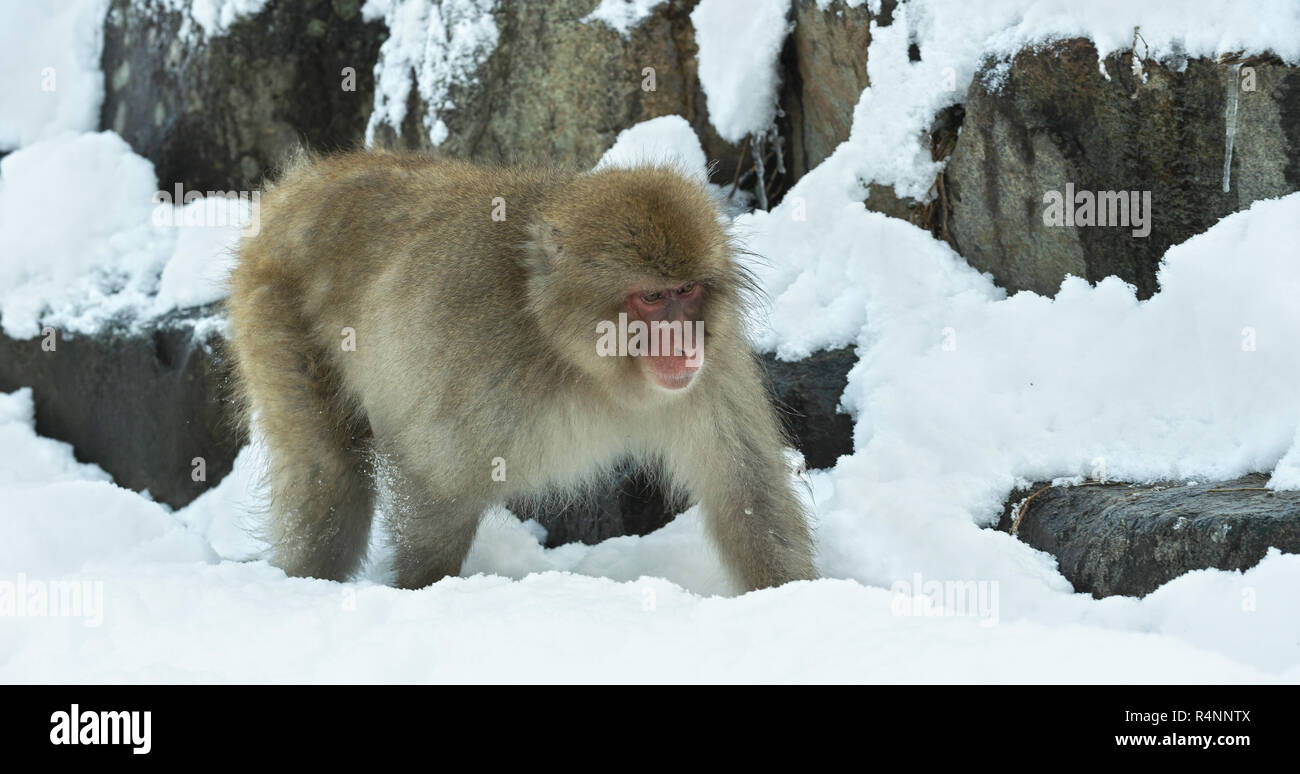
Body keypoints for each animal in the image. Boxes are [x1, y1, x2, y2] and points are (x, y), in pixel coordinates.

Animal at [226, 151, 816, 592]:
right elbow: (437, 483)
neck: (568, 350)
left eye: (687, 290)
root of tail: (298, 187)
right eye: (651, 297)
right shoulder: (473, 360)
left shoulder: (715, 363)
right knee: (326, 469)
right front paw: (422, 592)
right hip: (274, 311)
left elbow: (745, 490)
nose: (684, 345)